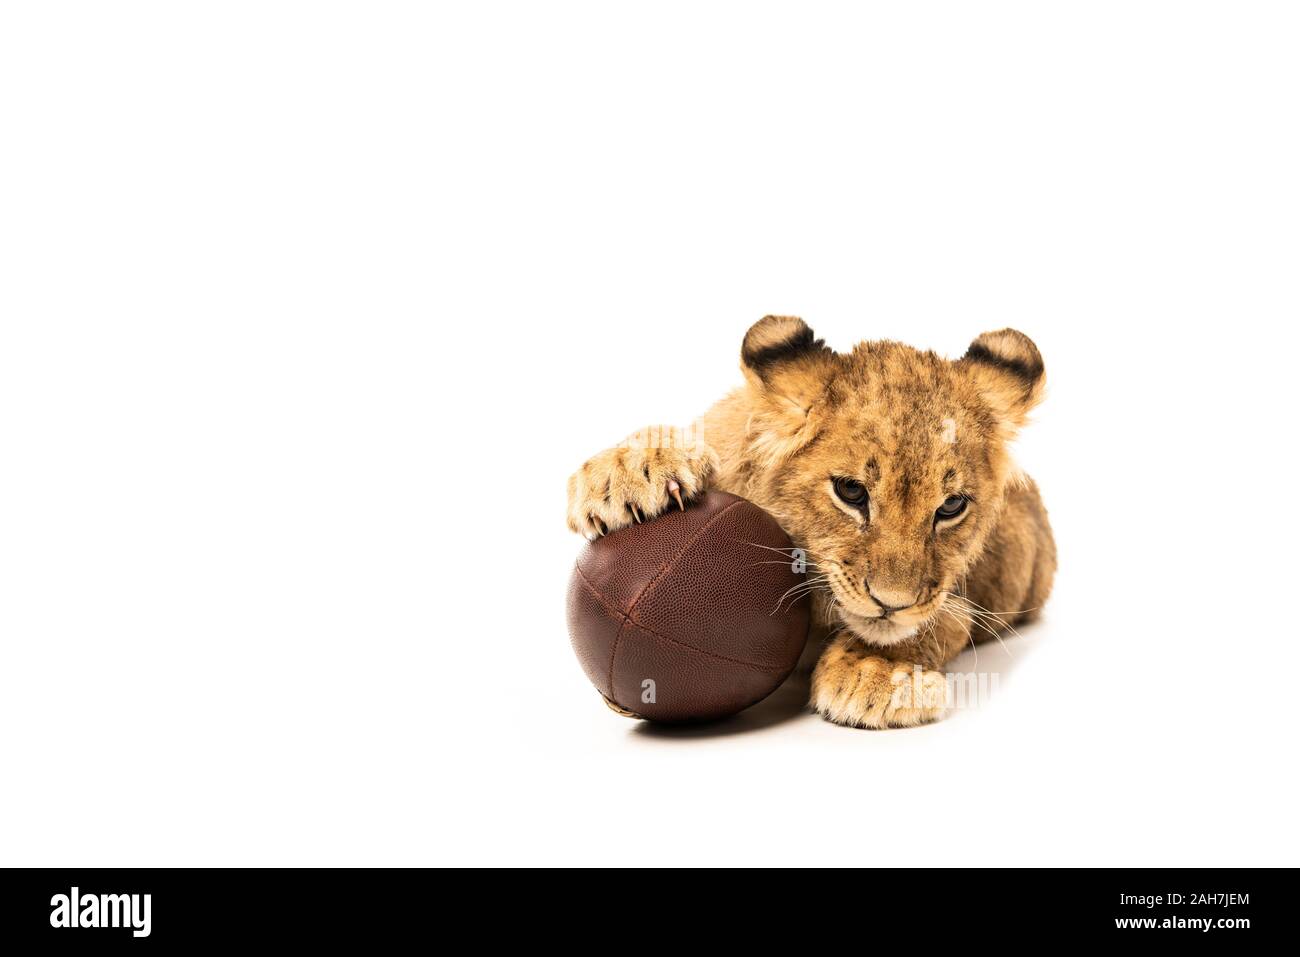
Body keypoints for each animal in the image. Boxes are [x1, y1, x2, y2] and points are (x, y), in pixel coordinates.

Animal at [565, 316, 1056, 728]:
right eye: (851, 491)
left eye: (952, 506)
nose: (892, 603)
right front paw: (628, 469)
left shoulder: (961, 598)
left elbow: (932, 623)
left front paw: (879, 669)